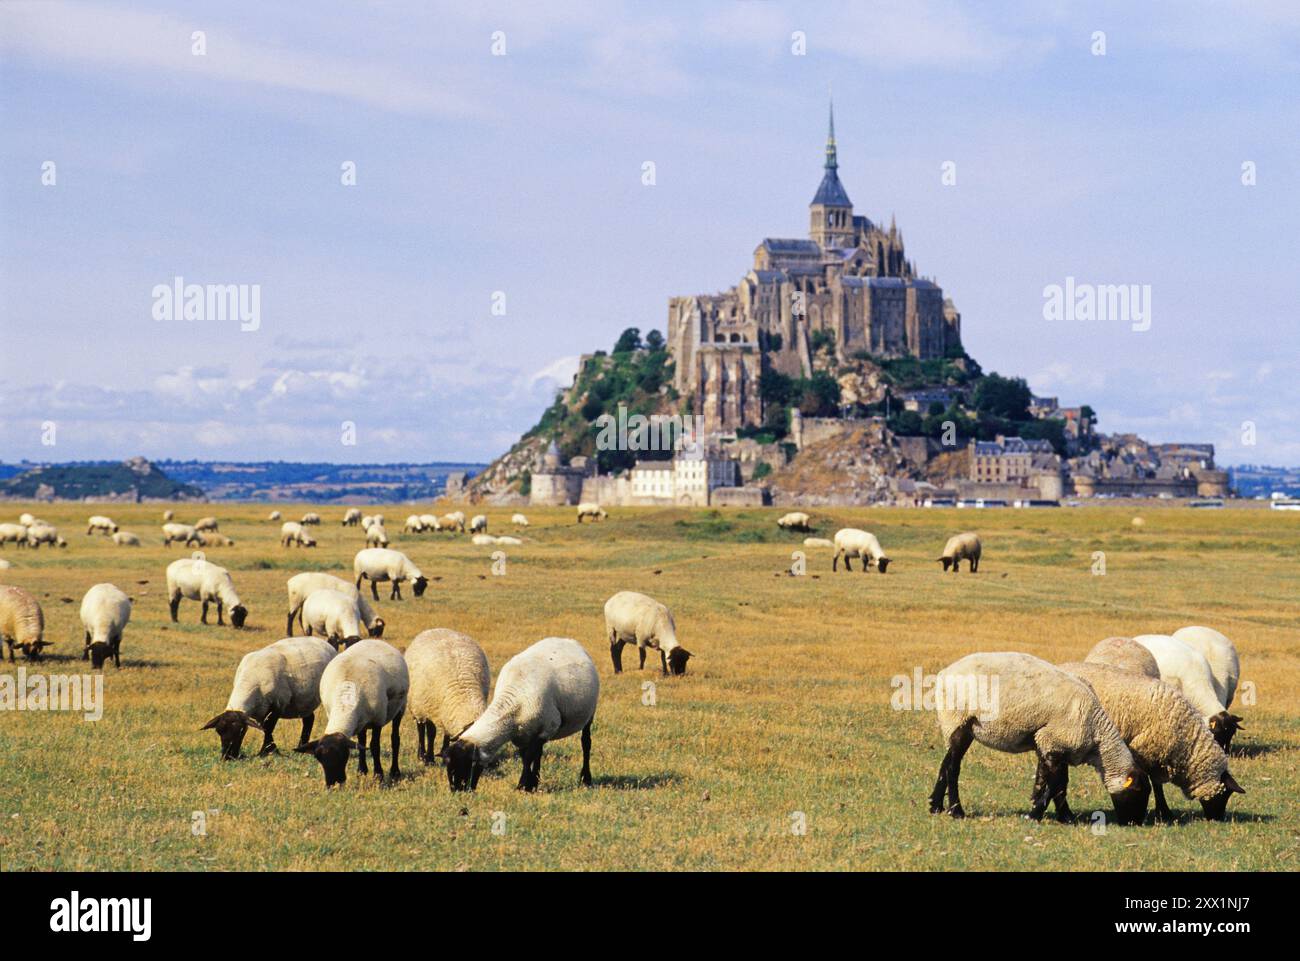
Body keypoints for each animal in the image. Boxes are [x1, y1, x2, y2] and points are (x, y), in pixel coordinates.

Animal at [203, 635, 338, 760]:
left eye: (241, 731)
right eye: (218, 731)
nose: (227, 757)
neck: (251, 678)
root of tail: (325, 642)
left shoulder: (276, 705)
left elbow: (268, 729)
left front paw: (267, 751)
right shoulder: (262, 710)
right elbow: (265, 729)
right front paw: (270, 749)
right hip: (303, 702)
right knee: (309, 719)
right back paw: (302, 746)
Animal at [297, 638, 409, 786]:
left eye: (343, 756)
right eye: (319, 758)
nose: (333, 784)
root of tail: (374, 640)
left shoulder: (378, 719)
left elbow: (375, 746)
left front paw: (378, 775)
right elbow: (361, 745)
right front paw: (362, 772)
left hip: (400, 707)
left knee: (395, 739)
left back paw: (395, 772)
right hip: (362, 720)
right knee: (362, 740)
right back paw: (362, 770)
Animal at [405, 629, 490, 764]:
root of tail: (437, 629)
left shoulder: (446, 713)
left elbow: (447, 734)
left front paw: (445, 755)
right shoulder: (430, 709)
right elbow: (431, 733)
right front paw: (429, 759)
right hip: (418, 705)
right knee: (420, 729)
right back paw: (421, 755)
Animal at [444, 637, 598, 792]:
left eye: (466, 765)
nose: (457, 791)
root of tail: (568, 640)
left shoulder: (548, 727)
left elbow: (530, 756)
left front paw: (524, 784)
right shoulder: (522, 734)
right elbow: (526, 757)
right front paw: (528, 783)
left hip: (589, 714)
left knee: (586, 743)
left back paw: (586, 779)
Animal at [928, 651, 1149, 824]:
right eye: (1140, 792)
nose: (1135, 823)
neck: (1096, 735)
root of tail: (944, 674)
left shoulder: (1051, 744)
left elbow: (1052, 782)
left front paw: (1063, 815)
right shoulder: (1054, 742)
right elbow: (1055, 783)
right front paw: (1036, 815)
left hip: (956, 724)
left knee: (945, 763)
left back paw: (935, 805)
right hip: (959, 720)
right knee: (952, 767)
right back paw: (956, 811)